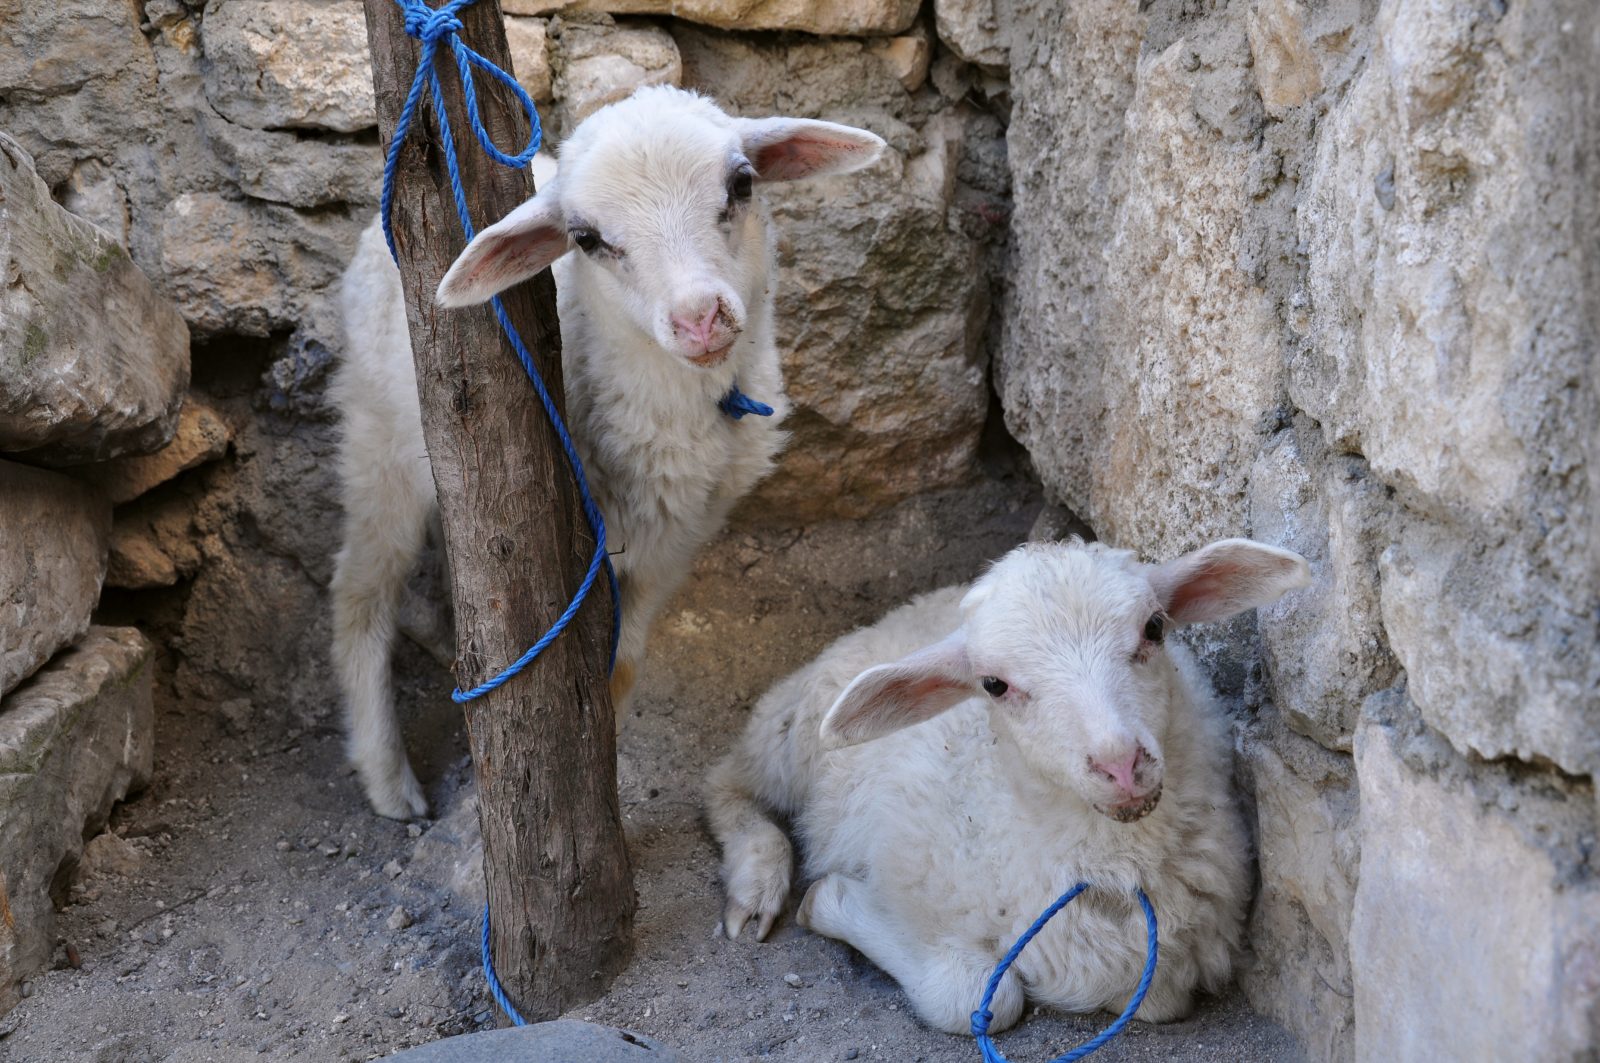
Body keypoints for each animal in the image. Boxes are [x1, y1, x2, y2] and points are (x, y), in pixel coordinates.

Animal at [332, 86, 886, 819]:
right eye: (587, 239)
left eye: (741, 184)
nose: (699, 319)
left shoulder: (675, 540)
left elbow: (620, 669)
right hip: (380, 438)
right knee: (360, 591)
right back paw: (388, 777)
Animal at [706, 536, 1311, 1034]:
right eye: (994, 685)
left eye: (1155, 629)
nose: (1119, 764)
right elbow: (978, 999)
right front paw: (826, 901)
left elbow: (1155, 1002)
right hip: (789, 735)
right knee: (726, 781)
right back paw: (758, 880)